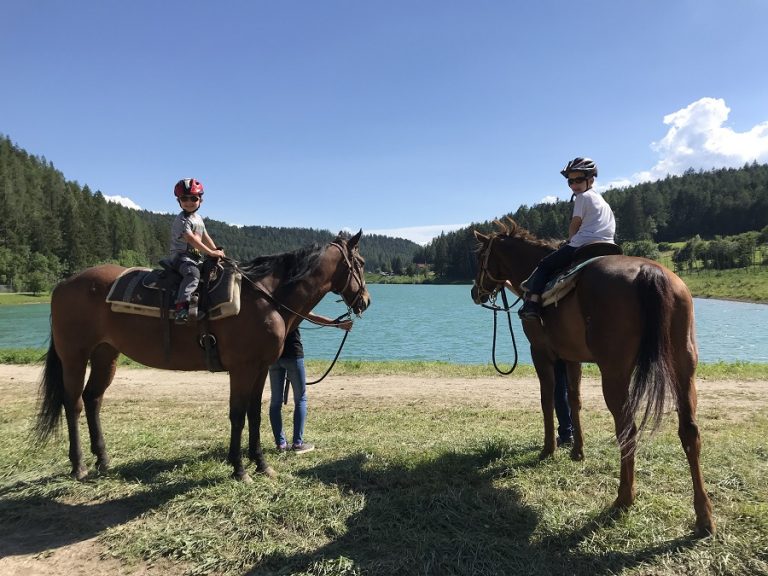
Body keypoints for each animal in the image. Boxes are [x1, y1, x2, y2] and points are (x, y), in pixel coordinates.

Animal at [35, 230, 371, 483]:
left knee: (93, 399)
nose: (366, 301)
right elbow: (237, 414)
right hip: (74, 356)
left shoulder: (261, 368)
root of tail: (63, 284)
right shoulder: (242, 368)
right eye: (362, 262)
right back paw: (78, 465)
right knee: (73, 403)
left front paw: (261, 463)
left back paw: (103, 460)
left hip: (106, 355)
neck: (265, 298)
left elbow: (255, 413)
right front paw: (239, 468)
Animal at [470, 218, 715, 537]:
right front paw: (577, 451)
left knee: (628, 429)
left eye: (480, 258)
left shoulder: (542, 354)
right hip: (683, 368)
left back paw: (624, 497)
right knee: (689, 431)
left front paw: (548, 450)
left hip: (615, 373)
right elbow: (574, 401)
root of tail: (650, 273)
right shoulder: (571, 358)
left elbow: (547, 400)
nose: (474, 292)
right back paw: (704, 516)